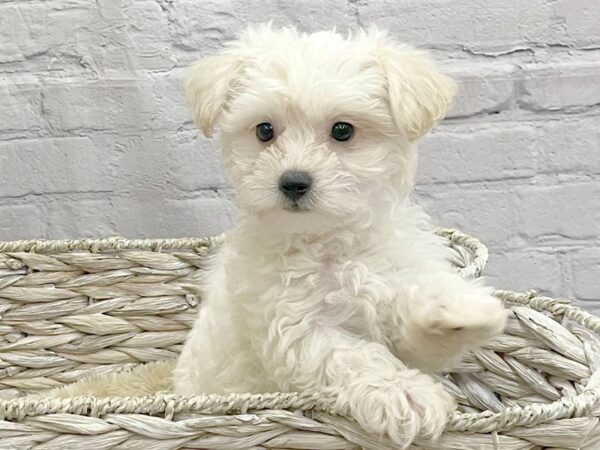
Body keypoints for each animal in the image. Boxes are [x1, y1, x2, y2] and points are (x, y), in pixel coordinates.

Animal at [173, 26, 506, 448]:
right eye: (265, 130)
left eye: (343, 130)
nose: (293, 181)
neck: (332, 237)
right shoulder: (292, 325)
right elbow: (353, 356)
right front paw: (404, 394)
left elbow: (420, 336)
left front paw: (457, 309)